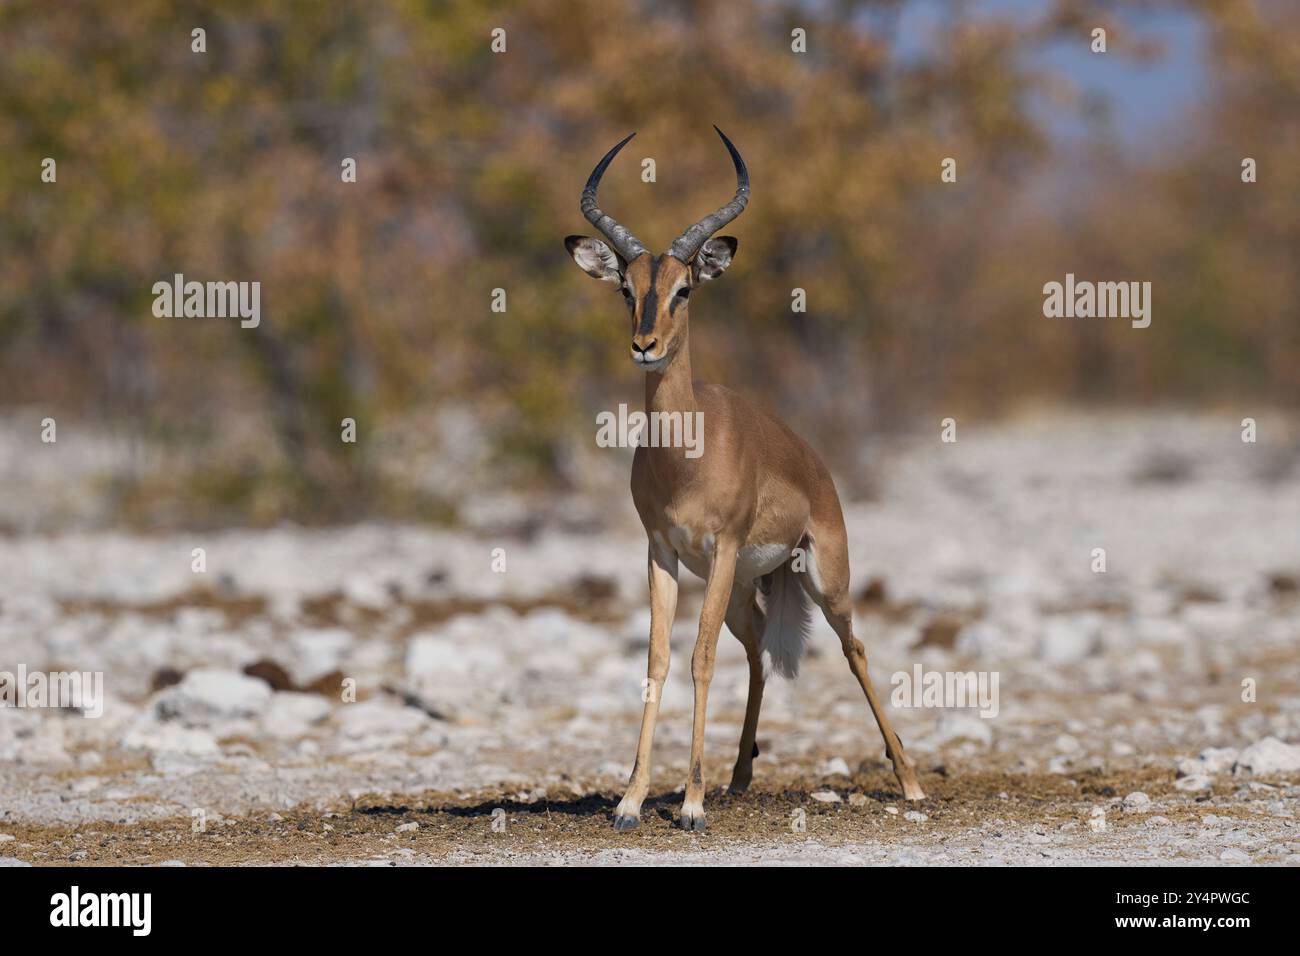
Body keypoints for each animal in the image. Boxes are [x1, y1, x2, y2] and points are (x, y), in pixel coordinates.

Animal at [566, 127, 926, 832]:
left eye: (684, 289)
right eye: (626, 287)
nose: (645, 345)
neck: (685, 456)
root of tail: (813, 460)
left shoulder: (726, 546)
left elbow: (700, 661)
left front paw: (690, 805)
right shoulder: (660, 552)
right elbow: (658, 659)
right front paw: (631, 800)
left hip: (822, 577)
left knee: (854, 647)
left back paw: (910, 782)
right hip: (737, 590)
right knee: (759, 651)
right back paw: (737, 777)